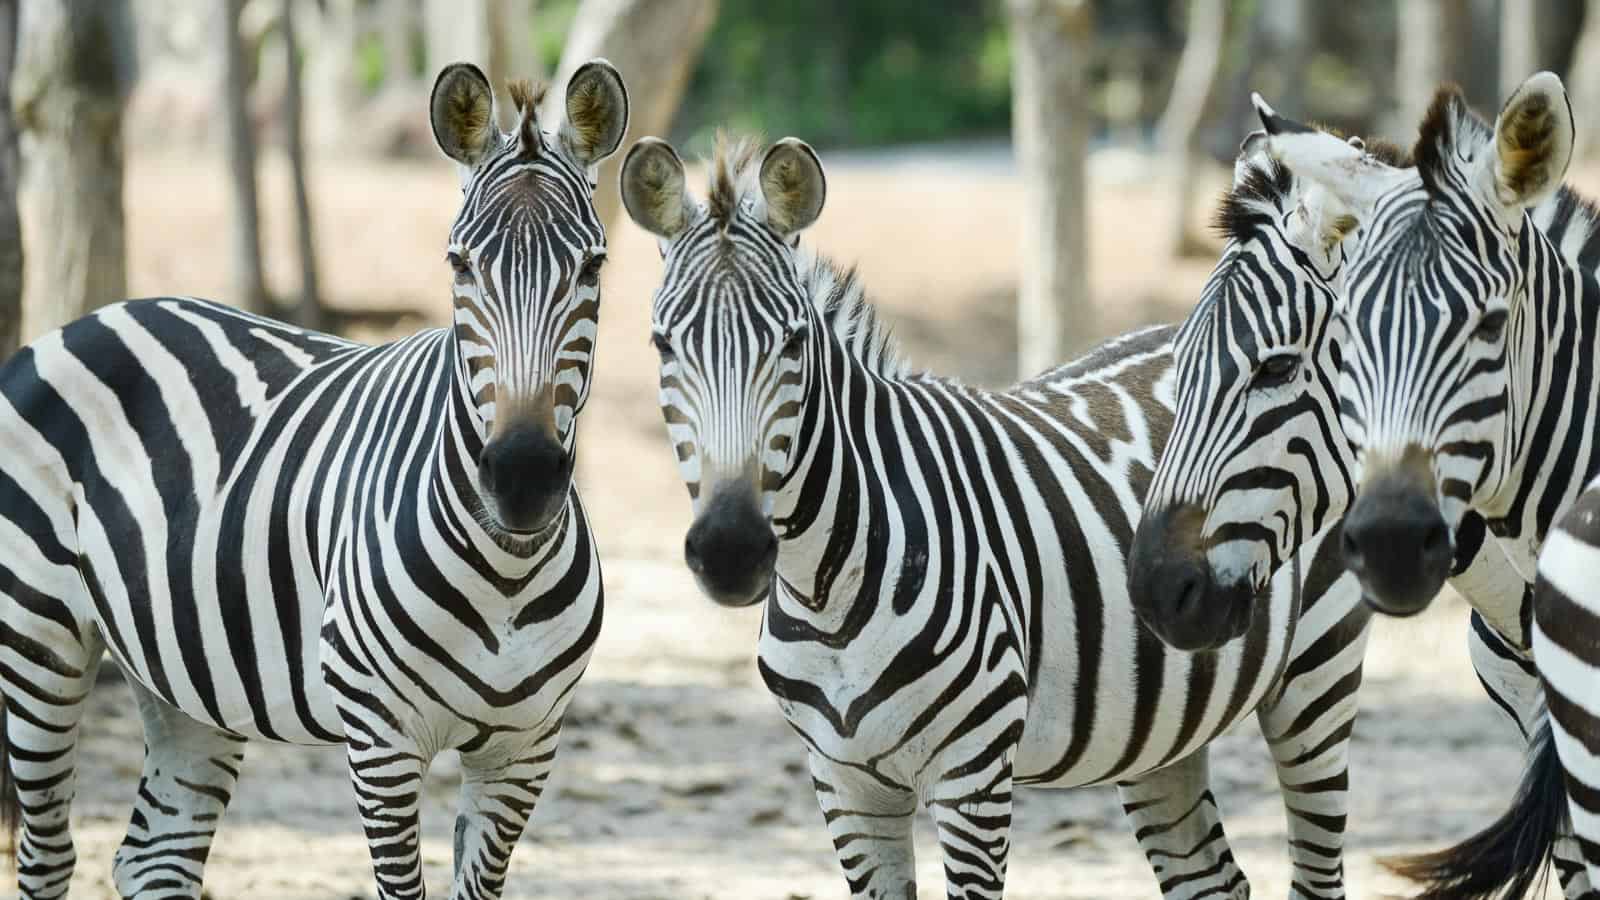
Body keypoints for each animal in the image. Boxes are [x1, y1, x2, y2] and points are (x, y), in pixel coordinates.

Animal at [0, 60, 626, 899]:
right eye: (458, 264)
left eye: (594, 265)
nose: (523, 476)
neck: (508, 573)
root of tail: (90, 319)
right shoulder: (382, 740)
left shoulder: (524, 749)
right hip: (38, 638)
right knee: (48, 854)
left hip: (182, 676)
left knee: (153, 855)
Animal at [620, 133, 1374, 900]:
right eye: (662, 345)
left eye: (794, 344)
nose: (730, 550)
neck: (827, 586)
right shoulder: (844, 786)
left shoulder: (973, 774)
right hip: (1160, 732)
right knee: (1215, 881)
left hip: (1316, 675)